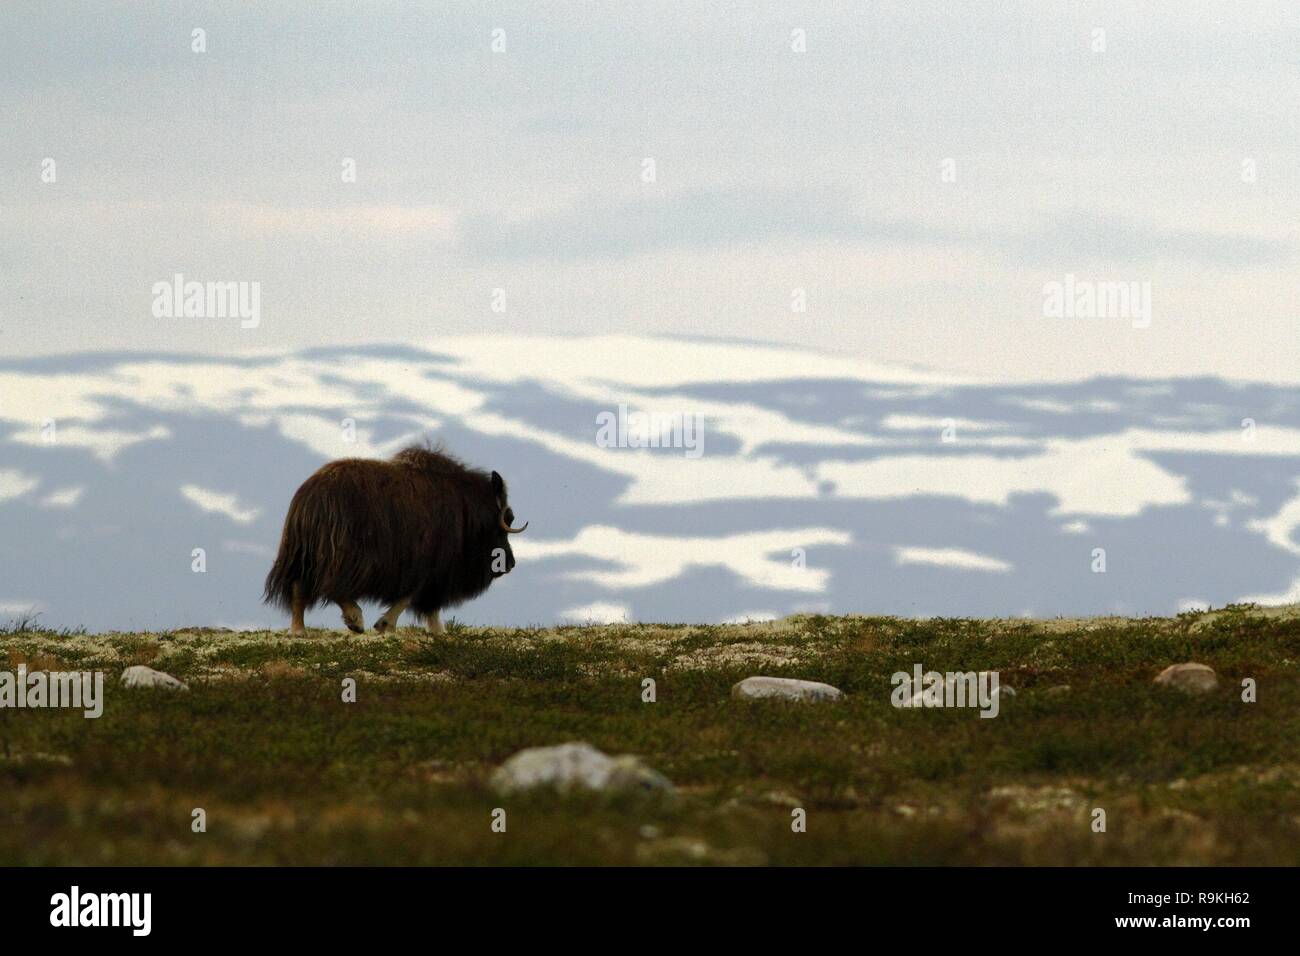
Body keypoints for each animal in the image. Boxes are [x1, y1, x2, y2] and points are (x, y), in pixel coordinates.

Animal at [263, 444, 527, 634]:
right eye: (508, 519)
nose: (510, 563)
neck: (467, 510)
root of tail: (309, 496)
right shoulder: (429, 568)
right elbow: (412, 597)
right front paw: (386, 625)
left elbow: (423, 603)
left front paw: (437, 632)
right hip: (343, 557)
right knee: (332, 586)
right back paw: (355, 620)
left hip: (304, 556)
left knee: (300, 588)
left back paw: (300, 631)